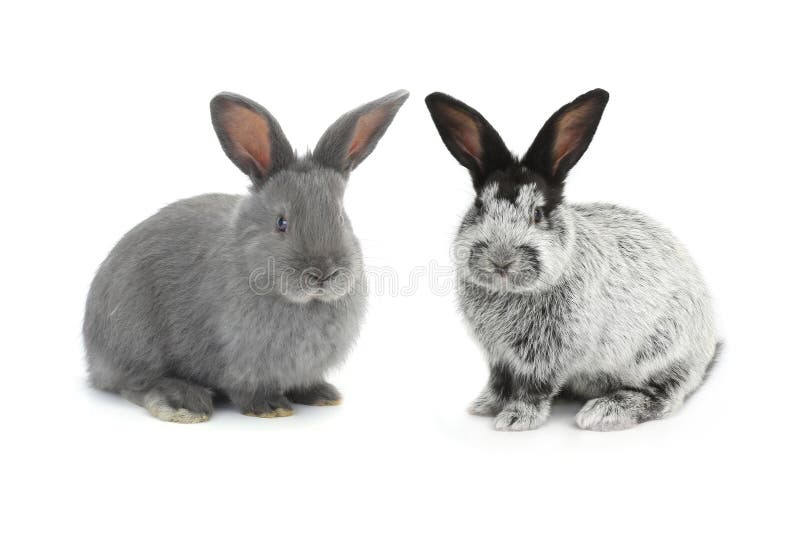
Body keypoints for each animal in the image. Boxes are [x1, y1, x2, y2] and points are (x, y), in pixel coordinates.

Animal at [83, 89, 409, 423]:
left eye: (341, 218)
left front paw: (320, 394)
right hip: (136, 341)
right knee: (135, 383)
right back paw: (183, 402)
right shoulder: (239, 361)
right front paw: (272, 407)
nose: (323, 273)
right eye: (281, 223)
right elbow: (246, 388)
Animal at [425, 88, 719, 431]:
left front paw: (515, 418)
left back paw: (604, 411)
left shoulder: (548, 354)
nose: (501, 261)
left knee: (664, 396)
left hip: (660, 354)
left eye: (538, 213)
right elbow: (500, 382)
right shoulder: (500, 357)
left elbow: (534, 387)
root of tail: (706, 352)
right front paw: (485, 406)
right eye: (480, 206)